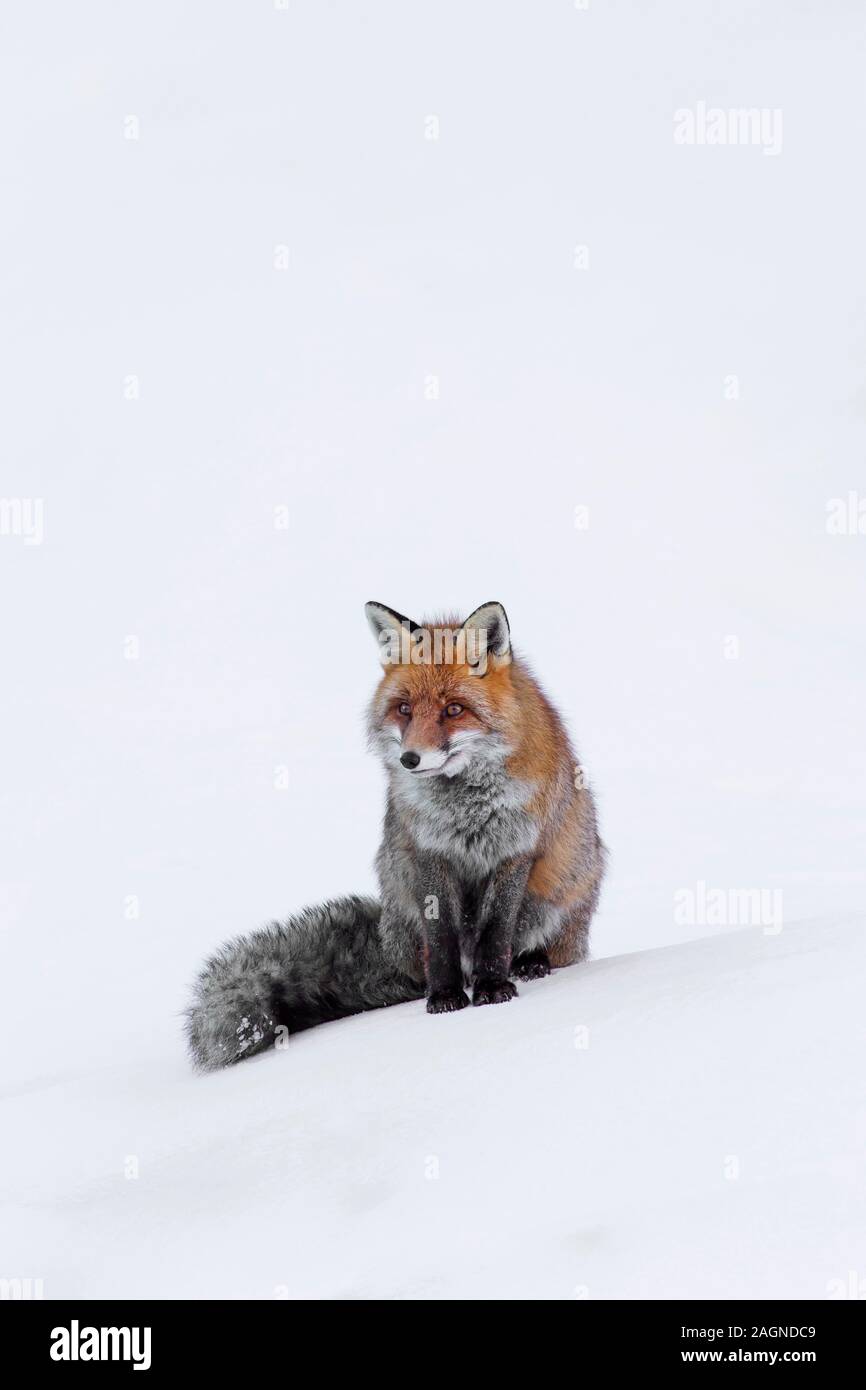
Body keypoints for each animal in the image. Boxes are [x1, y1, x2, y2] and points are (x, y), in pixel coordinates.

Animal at [186, 600, 606, 1070]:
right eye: (404, 709)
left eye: (454, 710)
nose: (409, 759)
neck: (465, 805)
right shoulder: (428, 850)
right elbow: (440, 937)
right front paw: (445, 998)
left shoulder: (515, 850)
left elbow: (497, 931)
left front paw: (494, 989)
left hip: (566, 888)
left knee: (554, 948)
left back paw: (531, 963)